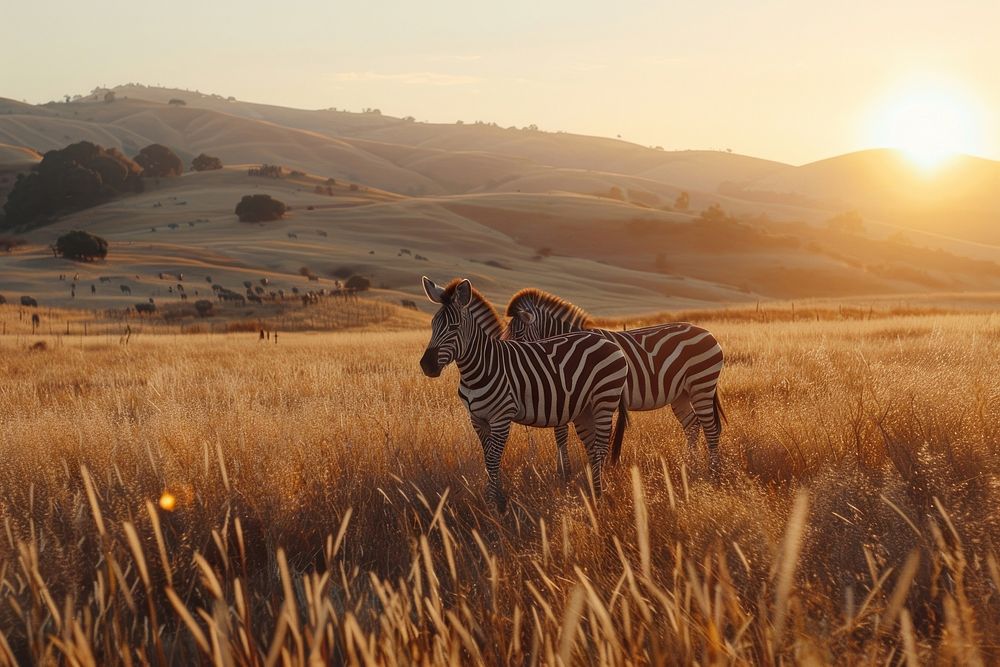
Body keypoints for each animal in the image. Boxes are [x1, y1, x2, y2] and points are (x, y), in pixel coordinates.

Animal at [420, 277, 630, 512]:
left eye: (454, 327)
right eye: (432, 325)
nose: (427, 366)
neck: (480, 368)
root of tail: (609, 342)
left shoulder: (501, 417)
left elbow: (493, 460)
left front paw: (493, 506)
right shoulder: (477, 419)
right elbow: (488, 459)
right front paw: (498, 499)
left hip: (604, 401)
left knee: (601, 447)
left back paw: (599, 497)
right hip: (585, 409)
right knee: (593, 449)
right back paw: (593, 493)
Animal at [503, 288, 726, 475]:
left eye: (519, 334)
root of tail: (706, 331)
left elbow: (563, 433)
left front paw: (566, 472)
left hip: (701, 384)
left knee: (710, 428)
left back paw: (712, 471)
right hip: (681, 394)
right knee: (693, 425)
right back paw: (690, 464)